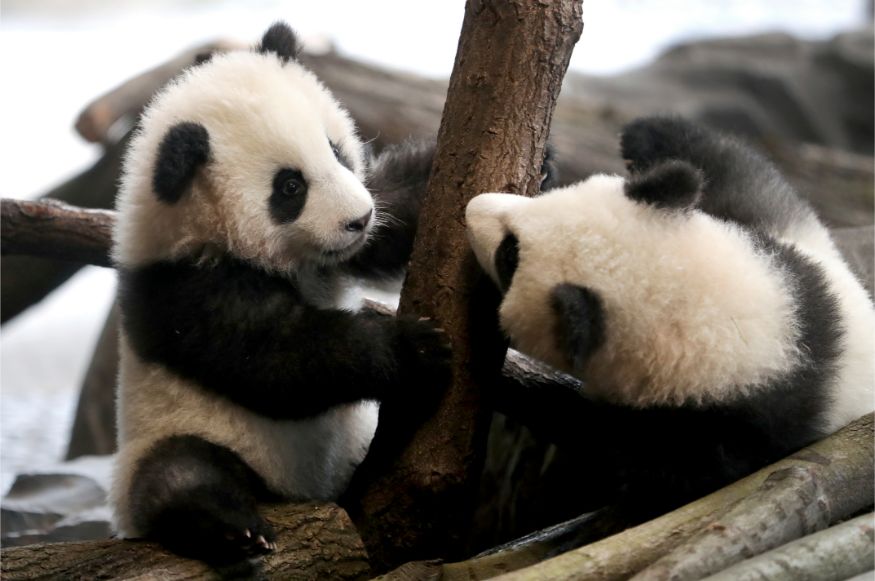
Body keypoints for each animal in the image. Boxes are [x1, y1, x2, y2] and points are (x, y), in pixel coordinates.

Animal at [110, 22, 450, 562]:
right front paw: (411, 348)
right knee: (177, 472)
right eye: (290, 187)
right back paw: (232, 526)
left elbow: (393, 212)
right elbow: (277, 359)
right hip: (175, 434)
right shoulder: (189, 289)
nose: (358, 219)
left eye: (335, 150)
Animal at [466, 116, 874, 520]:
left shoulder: (720, 436)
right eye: (547, 202)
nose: (472, 207)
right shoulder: (794, 266)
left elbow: (604, 446)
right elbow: (736, 173)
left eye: (510, 255)